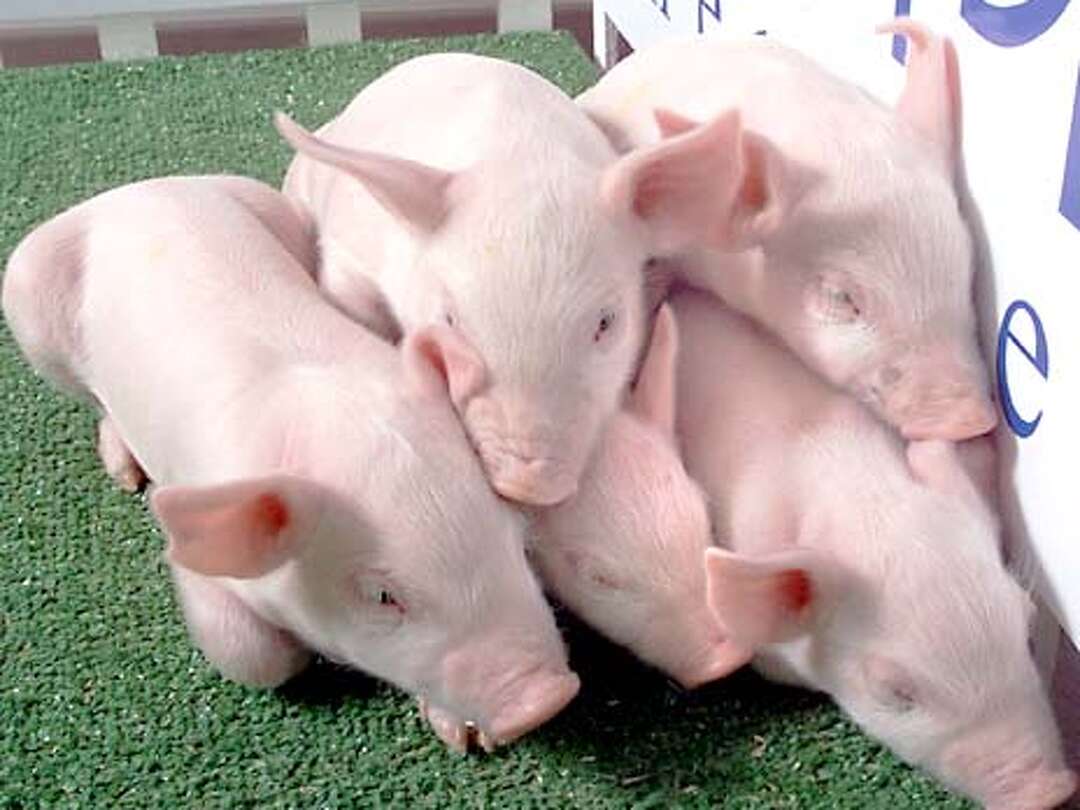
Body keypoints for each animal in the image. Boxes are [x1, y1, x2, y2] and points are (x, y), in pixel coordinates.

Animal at [1, 175, 579, 752]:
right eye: (382, 596)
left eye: (517, 541)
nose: (545, 699)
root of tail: (130, 191)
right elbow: (254, 656)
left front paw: (466, 737)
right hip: (27, 297)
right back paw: (124, 472)